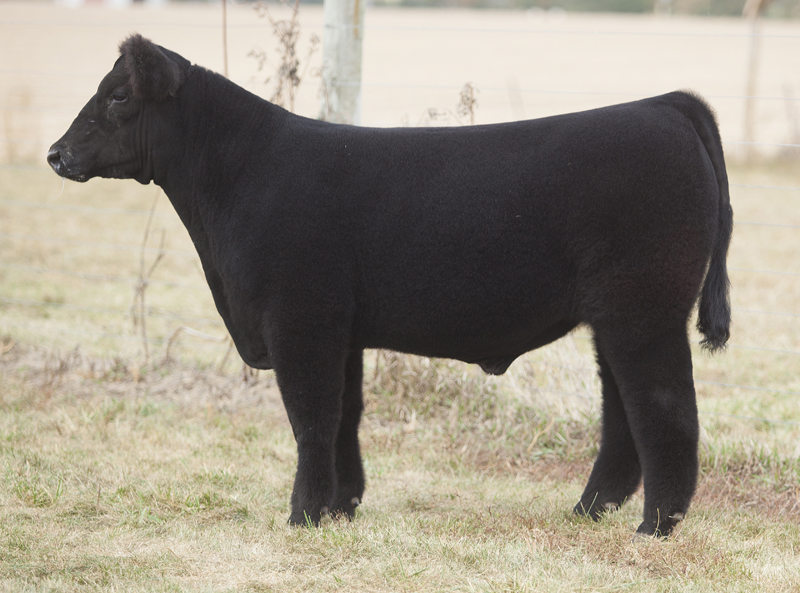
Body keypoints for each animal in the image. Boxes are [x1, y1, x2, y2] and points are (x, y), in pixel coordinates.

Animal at [48, 34, 732, 538]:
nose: (55, 153)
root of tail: (661, 104)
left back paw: (656, 526)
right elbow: (345, 414)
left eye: (117, 97)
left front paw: (302, 516)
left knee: (663, 409)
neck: (238, 179)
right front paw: (341, 507)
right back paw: (590, 510)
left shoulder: (299, 317)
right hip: (613, 319)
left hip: (642, 312)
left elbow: (311, 415)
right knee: (622, 414)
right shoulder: (340, 327)